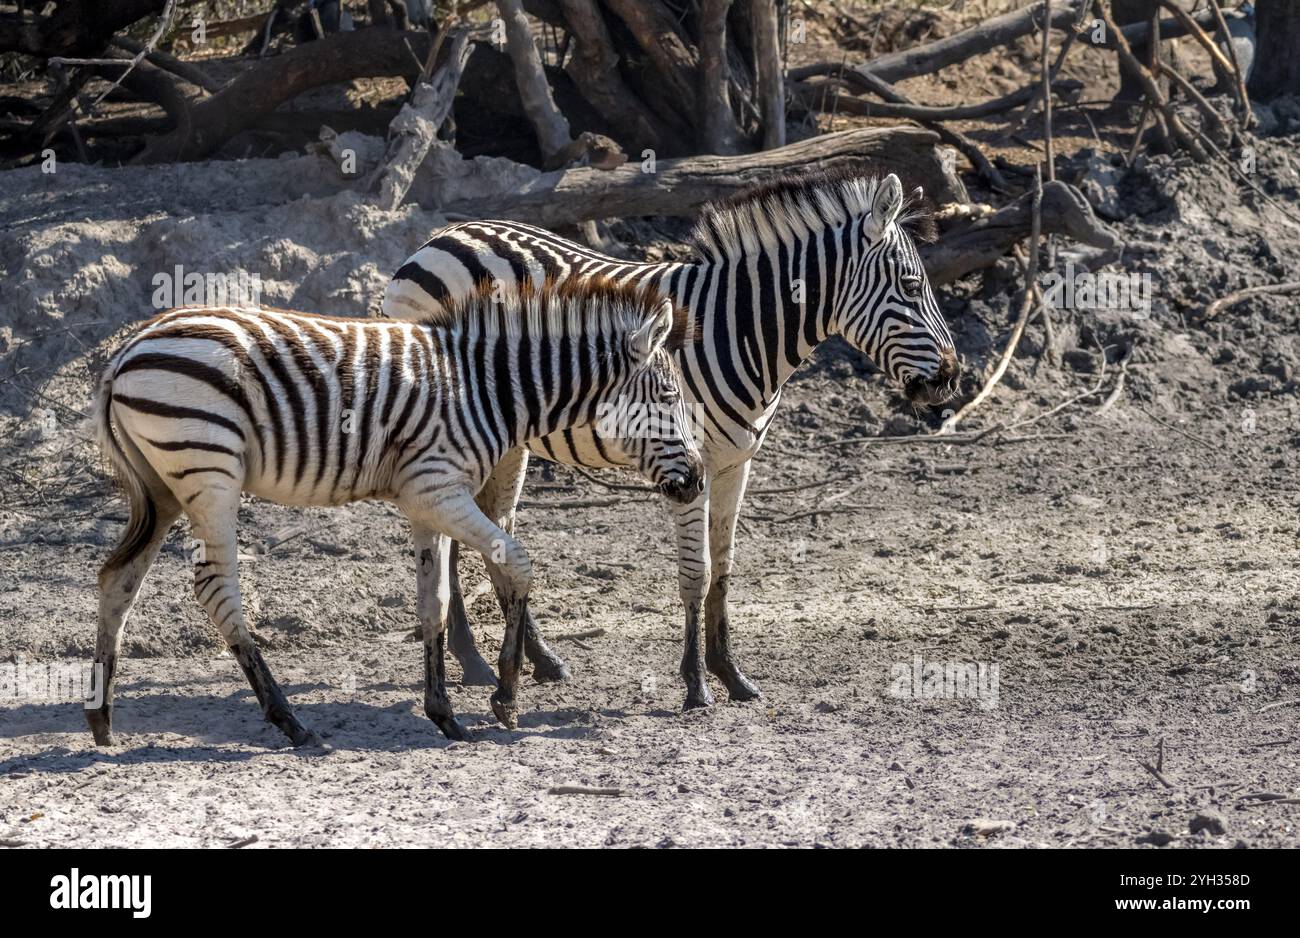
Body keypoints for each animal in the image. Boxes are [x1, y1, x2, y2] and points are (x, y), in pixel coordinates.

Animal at [87, 278, 703, 746]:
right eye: (670, 399)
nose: (697, 479)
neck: (484, 389)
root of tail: (126, 349)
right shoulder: (439, 489)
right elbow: (519, 564)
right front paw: (505, 697)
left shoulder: (426, 502)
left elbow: (434, 604)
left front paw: (445, 714)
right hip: (209, 472)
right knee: (215, 589)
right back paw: (291, 721)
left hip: (164, 488)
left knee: (118, 579)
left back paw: (102, 720)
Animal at [382, 167, 961, 710]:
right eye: (912, 287)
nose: (952, 379)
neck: (740, 332)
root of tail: (445, 234)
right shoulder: (688, 464)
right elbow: (695, 573)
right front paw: (697, 684)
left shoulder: (735, 464)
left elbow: (724, 566)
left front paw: (732, 675)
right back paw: (476, 661)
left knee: (488, 529)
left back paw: (536, 660)